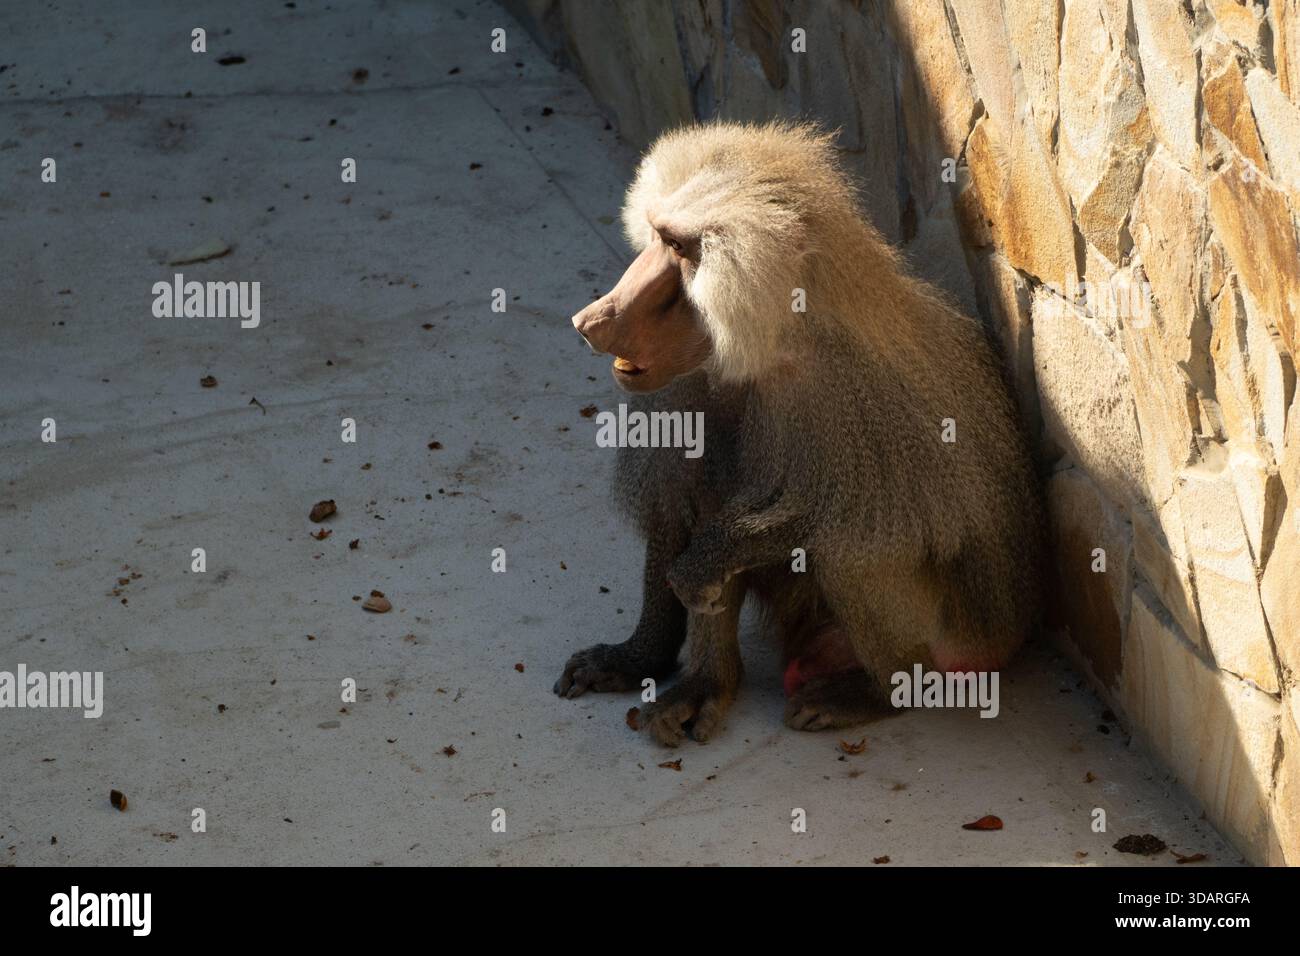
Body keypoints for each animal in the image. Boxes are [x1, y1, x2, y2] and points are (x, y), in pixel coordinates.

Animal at [553, 121, 1045, 747]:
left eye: (680, 249)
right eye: (659, 236)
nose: (592, 321)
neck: (767, 348)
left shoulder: (850, 393)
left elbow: (867, 516)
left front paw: (702, 565)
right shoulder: (682, 387)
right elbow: (674, 511)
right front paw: (639, 657)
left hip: (963, 641)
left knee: (852, 550)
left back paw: (876, 694)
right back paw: (708, 685)